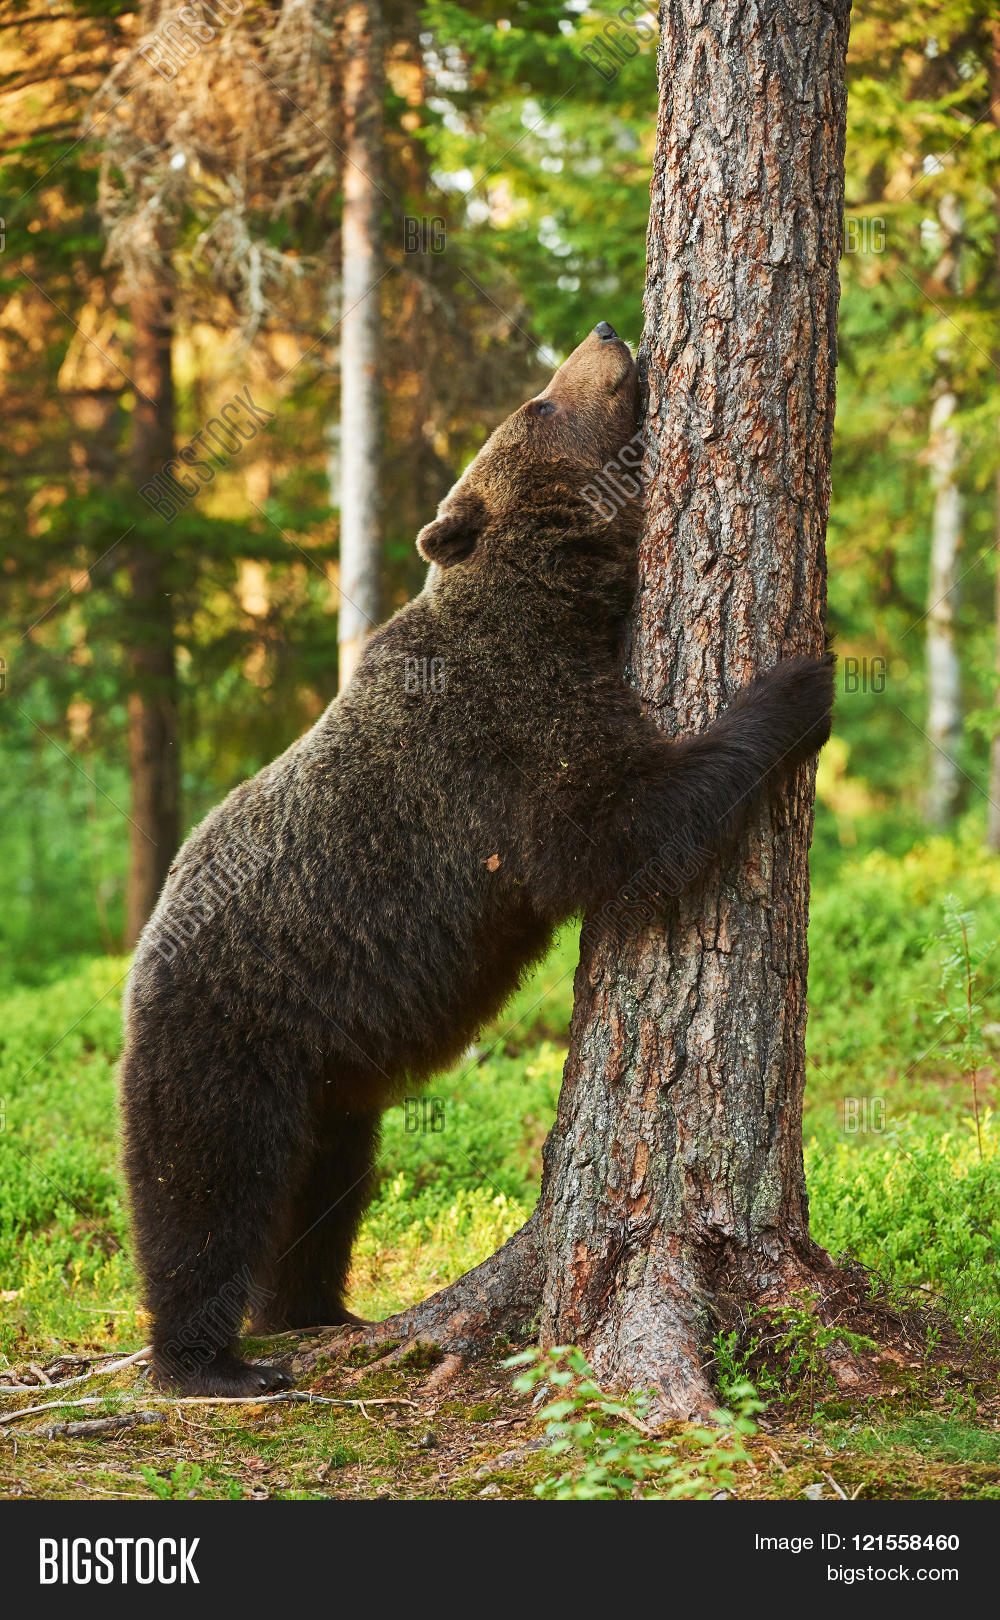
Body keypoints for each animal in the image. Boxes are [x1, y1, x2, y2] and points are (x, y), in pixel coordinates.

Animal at [120, 322, 835, 1395]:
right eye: (537, 404)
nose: (605, 333)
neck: (548, 605)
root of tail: (141, 948)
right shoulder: (504, 734)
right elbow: (622, 836)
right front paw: (802, 683)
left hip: (327, 1075)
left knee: (325, 1188)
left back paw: (318, 1310)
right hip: (226, 1032)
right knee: (204, 1188)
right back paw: (210, 1361)